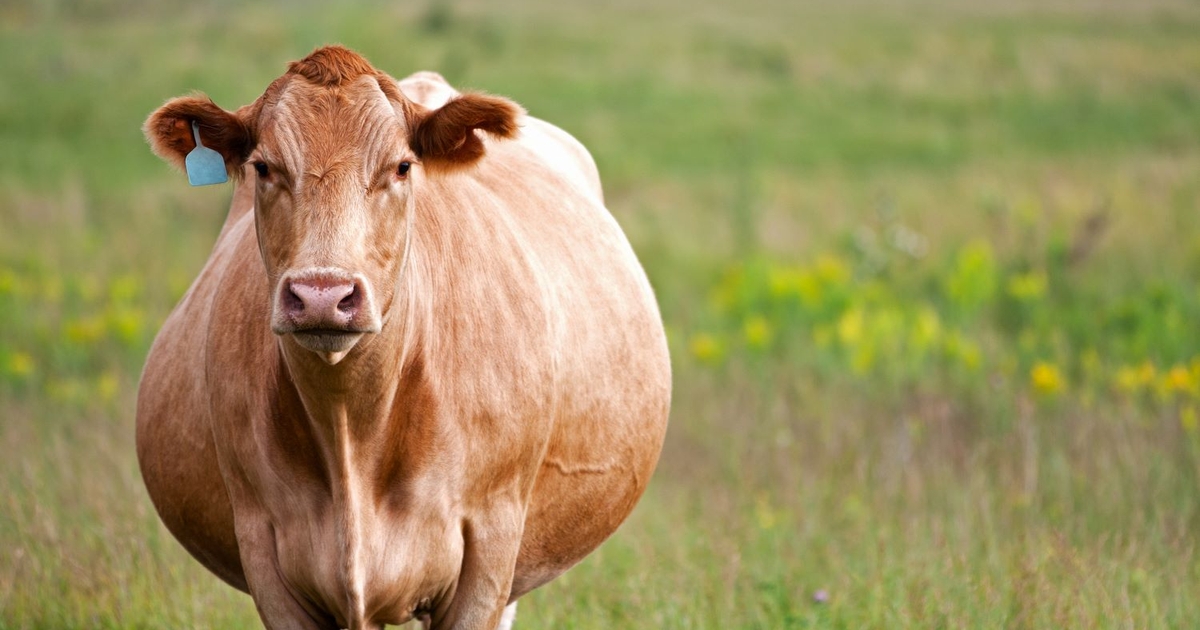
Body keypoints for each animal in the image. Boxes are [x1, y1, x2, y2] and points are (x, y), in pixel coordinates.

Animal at [136, 45, 670, 630]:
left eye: (401, 166)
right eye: (262, 167)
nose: (322, 294)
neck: (351, 426)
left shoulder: (491, 544)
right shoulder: (263, 551)